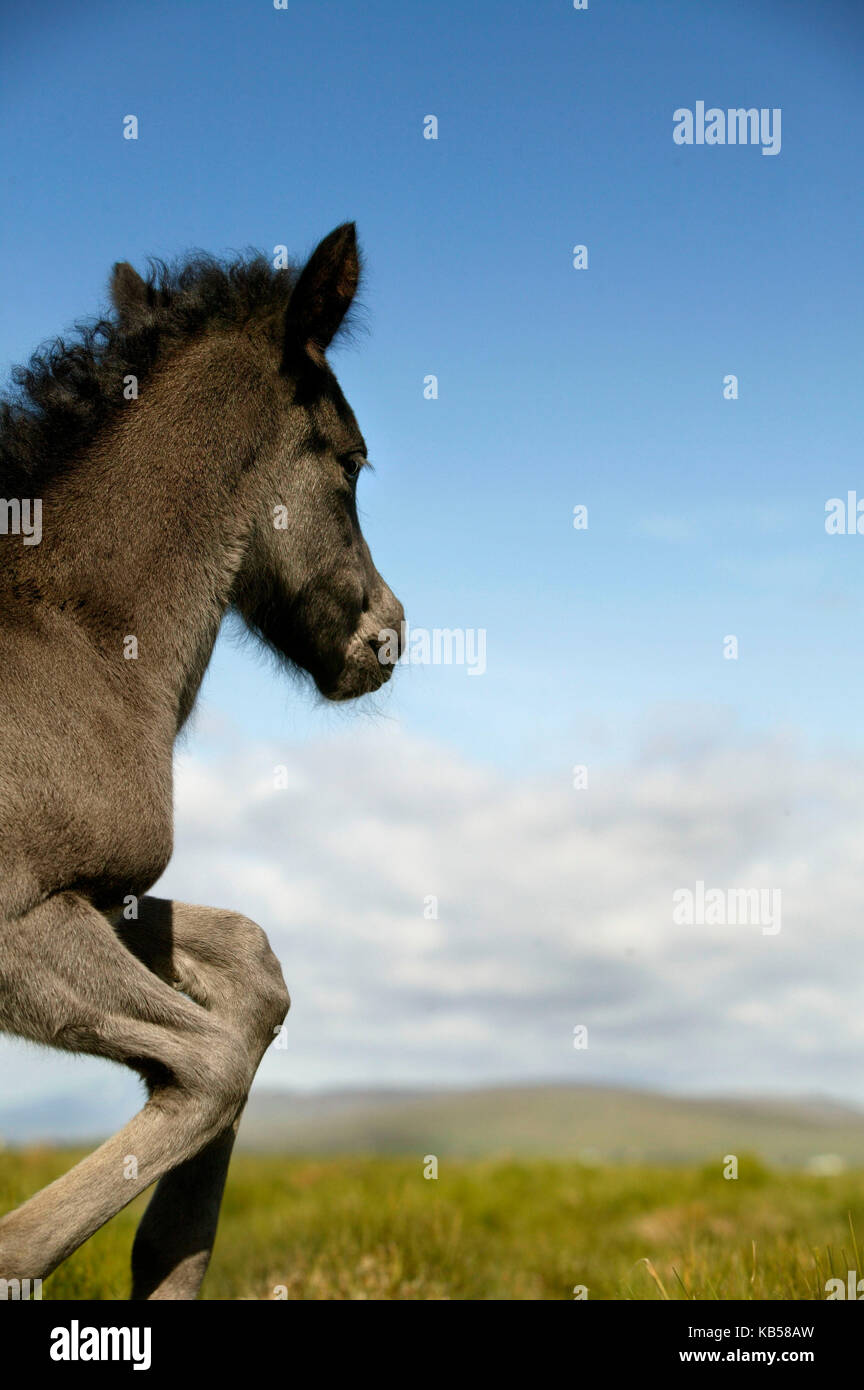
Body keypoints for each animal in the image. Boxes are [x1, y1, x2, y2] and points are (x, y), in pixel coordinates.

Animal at [0, 222, 405, 1295]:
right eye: (353, 463)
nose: (385, 635)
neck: (79, 636)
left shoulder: (100, 895)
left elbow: (251, 982)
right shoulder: (19, 921)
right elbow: (214, 1063)